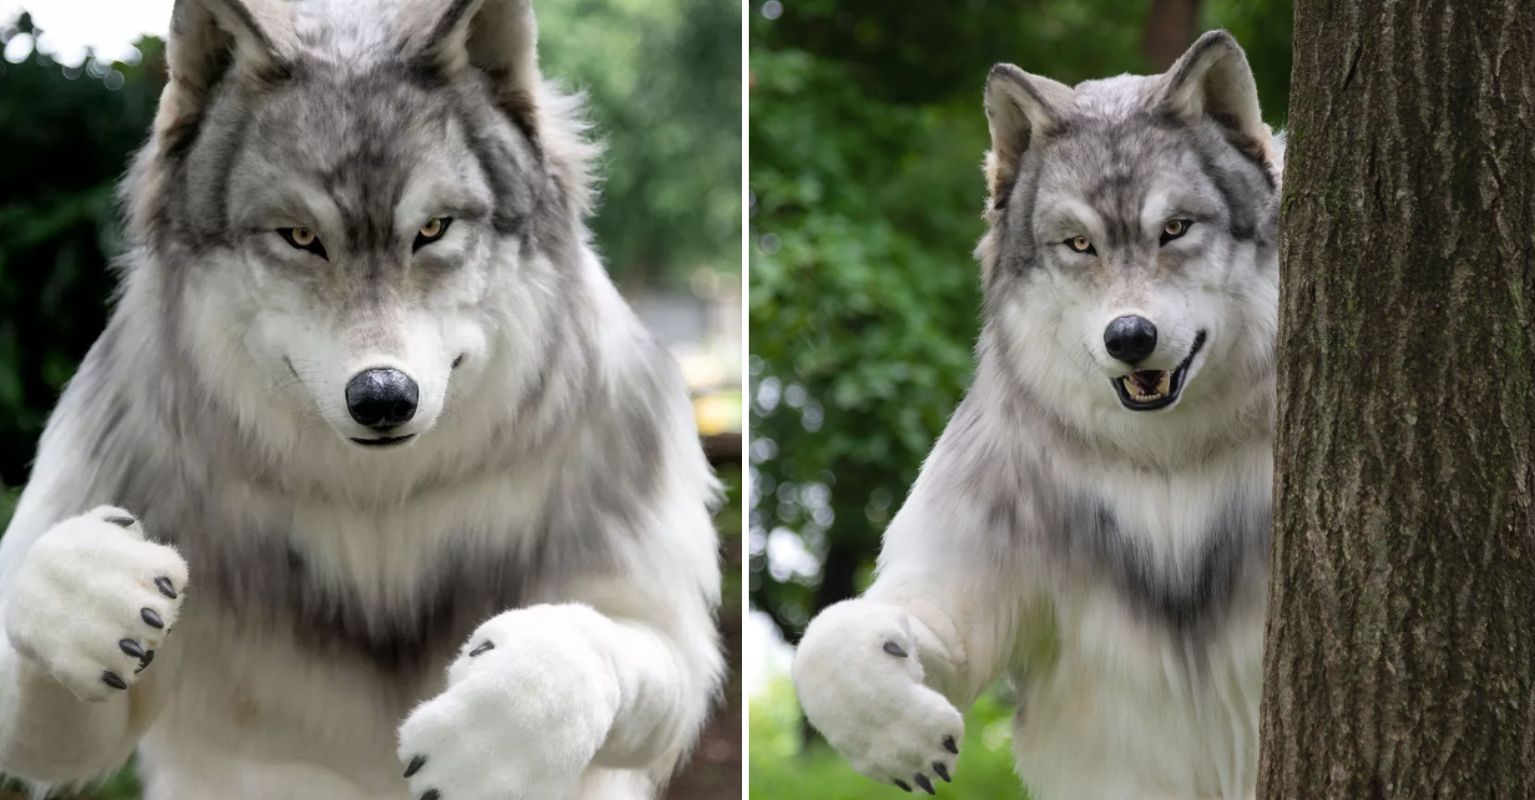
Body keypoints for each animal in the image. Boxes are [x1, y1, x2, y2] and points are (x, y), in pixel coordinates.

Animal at [0, 0, 722, 798]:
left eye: (432, 229)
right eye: (299, 236)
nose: (382, 398)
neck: (378, 506)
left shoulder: (667, 642)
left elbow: (591, 648)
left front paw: (497, 730)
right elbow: (39, 606)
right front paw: (85, 587)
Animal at [793, 31, 1282, 800]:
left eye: (1174, 229)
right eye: (1078, 244)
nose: (1129, 337)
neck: (1164, 464)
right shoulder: (950, 613)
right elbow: (826, 638)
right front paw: (900, 740)